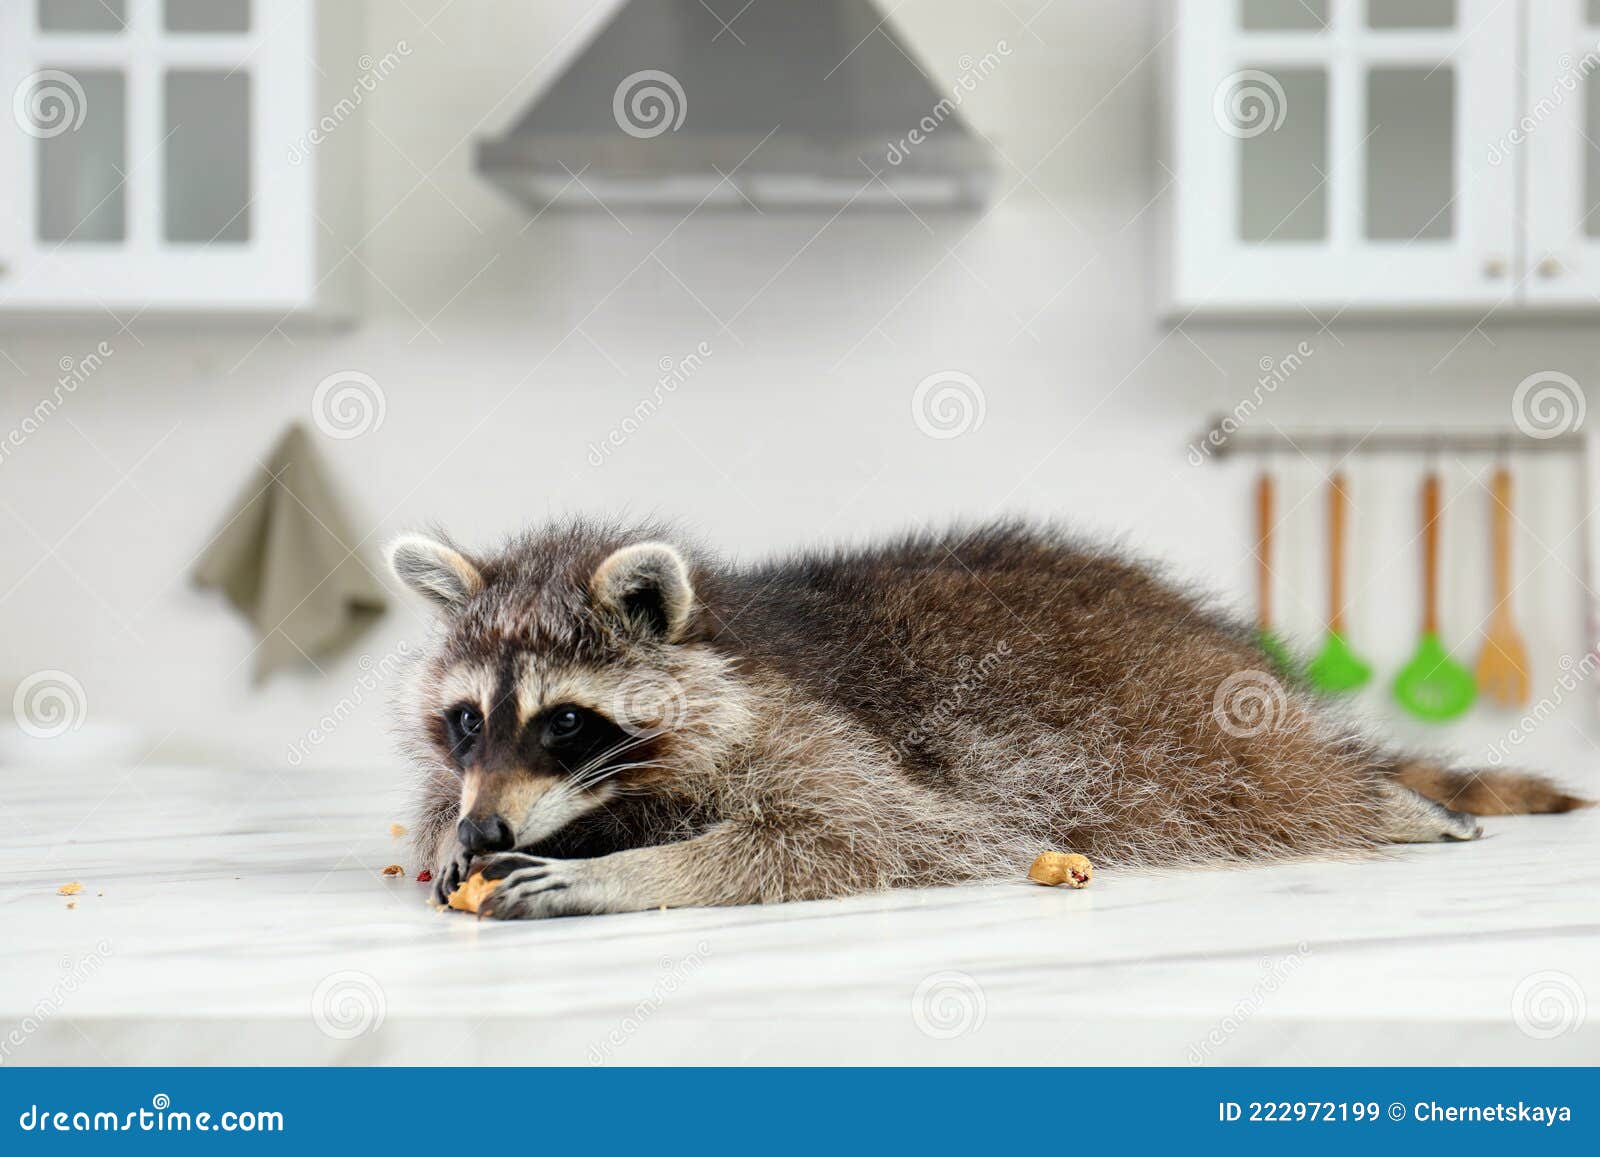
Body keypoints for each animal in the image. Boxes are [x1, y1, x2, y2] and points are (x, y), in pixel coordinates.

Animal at [388, 519, 1587, 919]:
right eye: (466, 719)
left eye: (567, 723)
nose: (487, 831)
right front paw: (459, 829)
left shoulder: (821, 735)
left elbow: (851, 833)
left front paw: (632, 870)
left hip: (1193, 728)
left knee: (1273, 784)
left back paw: (1376, 796)